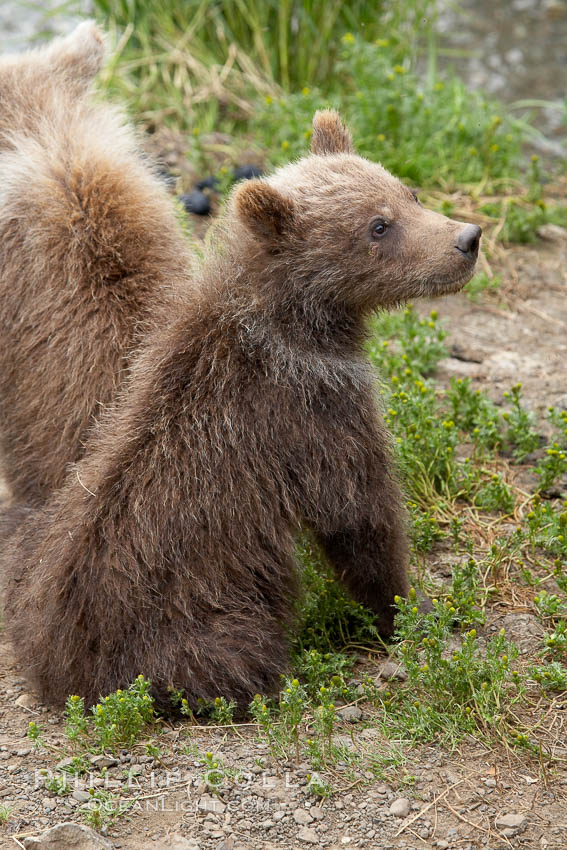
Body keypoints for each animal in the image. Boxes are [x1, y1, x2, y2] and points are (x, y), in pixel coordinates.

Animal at [0, 104, 481, 710]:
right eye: (378, 225)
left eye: (408, 191)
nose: (467, 238)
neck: (299, 326)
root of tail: (59, 670)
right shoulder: (312, 409)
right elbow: (361, 517)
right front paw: (409, 608)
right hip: (194, 614)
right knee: (232, 653)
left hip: (40, 551)